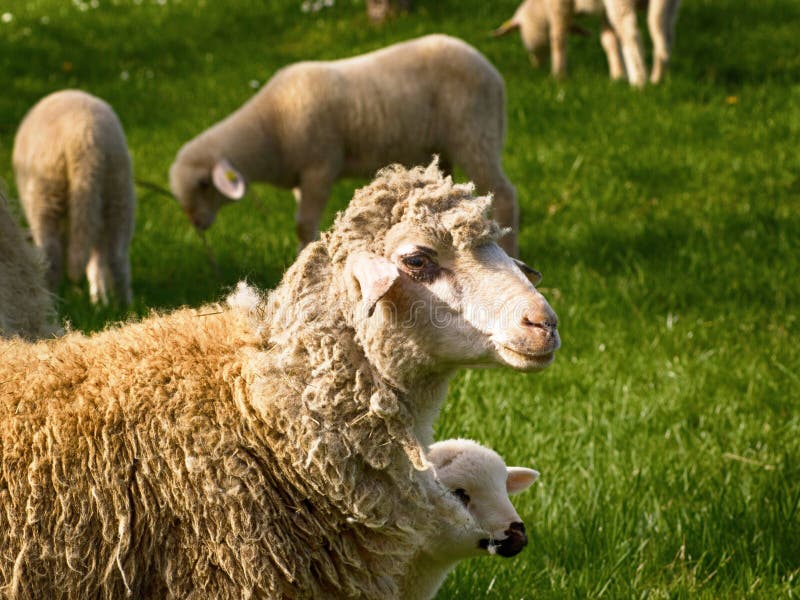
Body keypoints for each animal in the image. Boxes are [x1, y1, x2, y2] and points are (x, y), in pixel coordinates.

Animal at [12, 89, 136, 305]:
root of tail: (85, 139)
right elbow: (97, 257)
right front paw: (100, 296)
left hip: (46, 195)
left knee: (51, 255)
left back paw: (51, 298)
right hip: (117, 192)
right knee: (116, 255)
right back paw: (122, 305)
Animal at [169, 34, 520, 256]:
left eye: (204, 184)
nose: (198, 224)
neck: (271, 126)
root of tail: (494, 73)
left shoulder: (320, 167)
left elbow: (303, 225)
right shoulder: (301, 178)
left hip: (475, 133)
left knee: (504, 195)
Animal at [493, 0, 681, 86]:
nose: (536, 65)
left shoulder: (559, 5)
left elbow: (558, 36)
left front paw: (558, 75)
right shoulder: (604, 13)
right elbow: (609, 41)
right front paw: (617, 76)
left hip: (622, 3)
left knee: (632, 35)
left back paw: (638, 82)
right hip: (668, 5)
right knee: (664, 35)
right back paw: (657, 78)